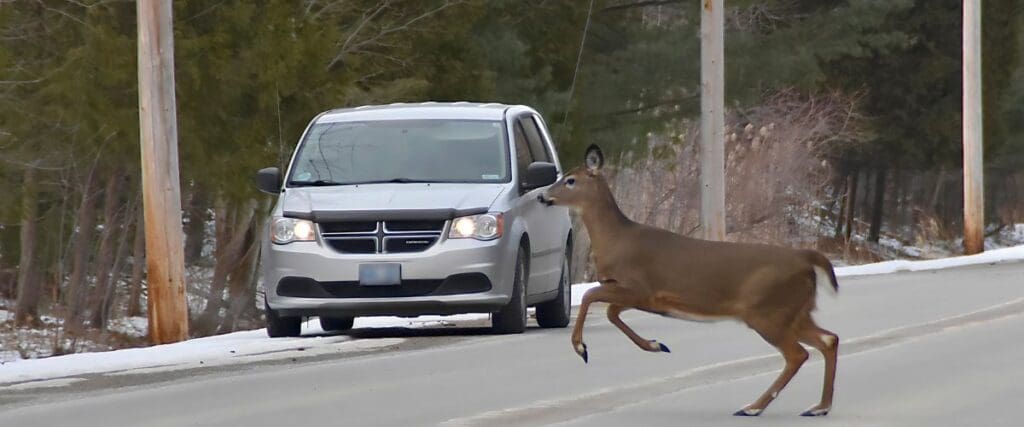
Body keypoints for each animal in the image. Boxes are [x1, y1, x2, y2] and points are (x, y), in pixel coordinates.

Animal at [538, 144, 840, 417]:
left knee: (798, 354)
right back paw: (819, 407)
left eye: (570, 180)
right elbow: (611, 313)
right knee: (829, 339)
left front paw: (581, 348)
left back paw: (754, 407)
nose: (542, 196)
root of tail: (805, 258)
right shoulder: (642, 296)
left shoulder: (639, 287)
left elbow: (590, 295)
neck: (616, 241)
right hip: (795, 311)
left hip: (767, 311)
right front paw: (656, 345)